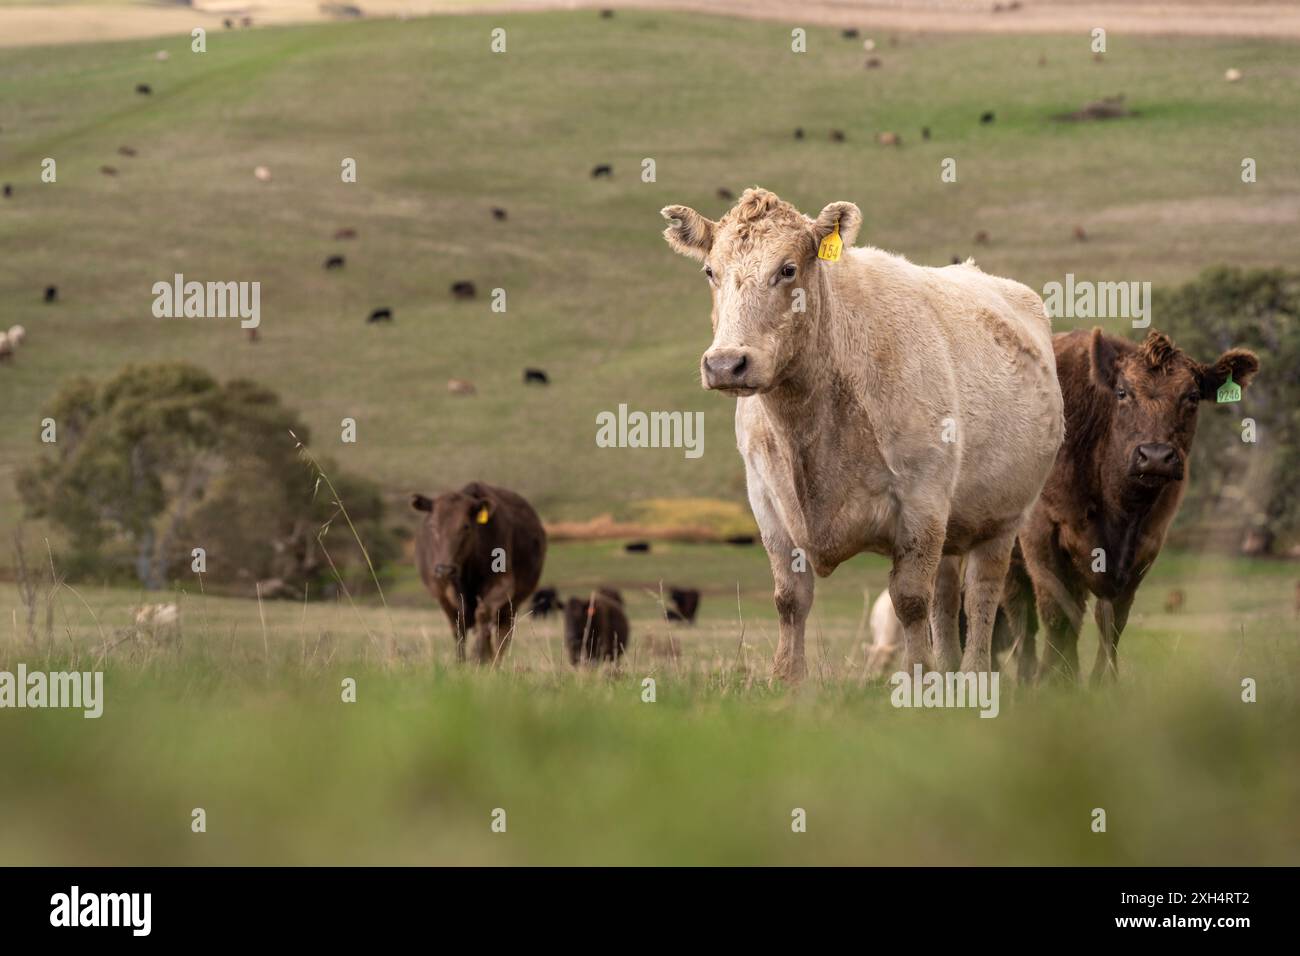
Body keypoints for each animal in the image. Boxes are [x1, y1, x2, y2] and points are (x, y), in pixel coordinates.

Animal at [412, 482, 547, 664]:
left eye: (466, 526)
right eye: (433, 526)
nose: (445, 569)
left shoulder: (503, 586)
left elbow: (482, 615)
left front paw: (478, 656)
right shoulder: (442, 594)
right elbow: (458, 626)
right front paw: (460, 662)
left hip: (513, 604)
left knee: (502, 633)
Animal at [660, 187, 1064, 681]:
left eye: (788, 269)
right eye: (710, 271)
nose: (725, 363)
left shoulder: (923, 501)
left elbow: (910, 600)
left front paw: (918, 679)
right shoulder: (767, 501)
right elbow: (790, 599)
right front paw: (786, 680)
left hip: (1002, 519)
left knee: (981, 596)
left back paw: (969, 674)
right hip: (953, 529)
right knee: (947, 598)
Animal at [1013, 328, 1258, 683]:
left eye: (1192, 396)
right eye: (1122, 392)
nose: (1155, 456)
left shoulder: (1146, 544)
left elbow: (1112, 619)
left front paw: (1102, 683)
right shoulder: (1040, 533)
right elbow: (1058, 616)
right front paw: (1055, 685)